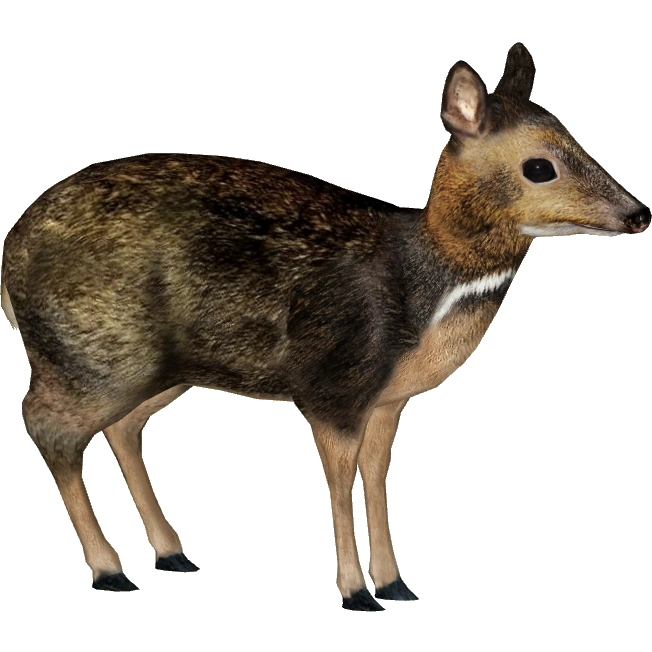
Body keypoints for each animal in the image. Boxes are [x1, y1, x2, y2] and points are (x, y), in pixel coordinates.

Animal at [1, 43, 648, 611]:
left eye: (577, 139)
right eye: (540, 167)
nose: (638, 213)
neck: (425, 292)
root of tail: (9, 254)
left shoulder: (387, 399)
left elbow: (378, 480)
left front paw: (395, 584)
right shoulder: (332, 384)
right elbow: (341, 485)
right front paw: (355, 595)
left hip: (170, 366)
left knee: (122, 426)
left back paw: (172, 554)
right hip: (96, 351)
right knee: (44, 422)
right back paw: (109, 571)